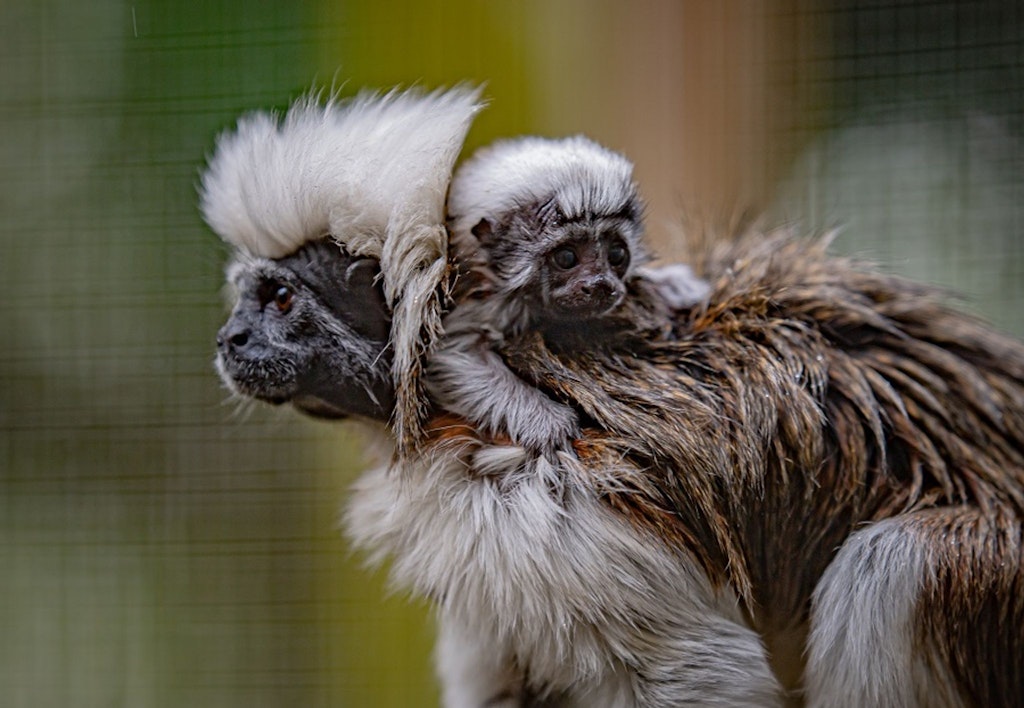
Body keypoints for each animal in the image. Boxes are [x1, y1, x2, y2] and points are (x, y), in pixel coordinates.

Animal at [426, 135, 709, 454]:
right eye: (566, 258)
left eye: (617, 254)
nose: (599, 284)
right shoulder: (489, 301)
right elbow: (450, 355)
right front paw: (544, 420)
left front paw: (671, 285)